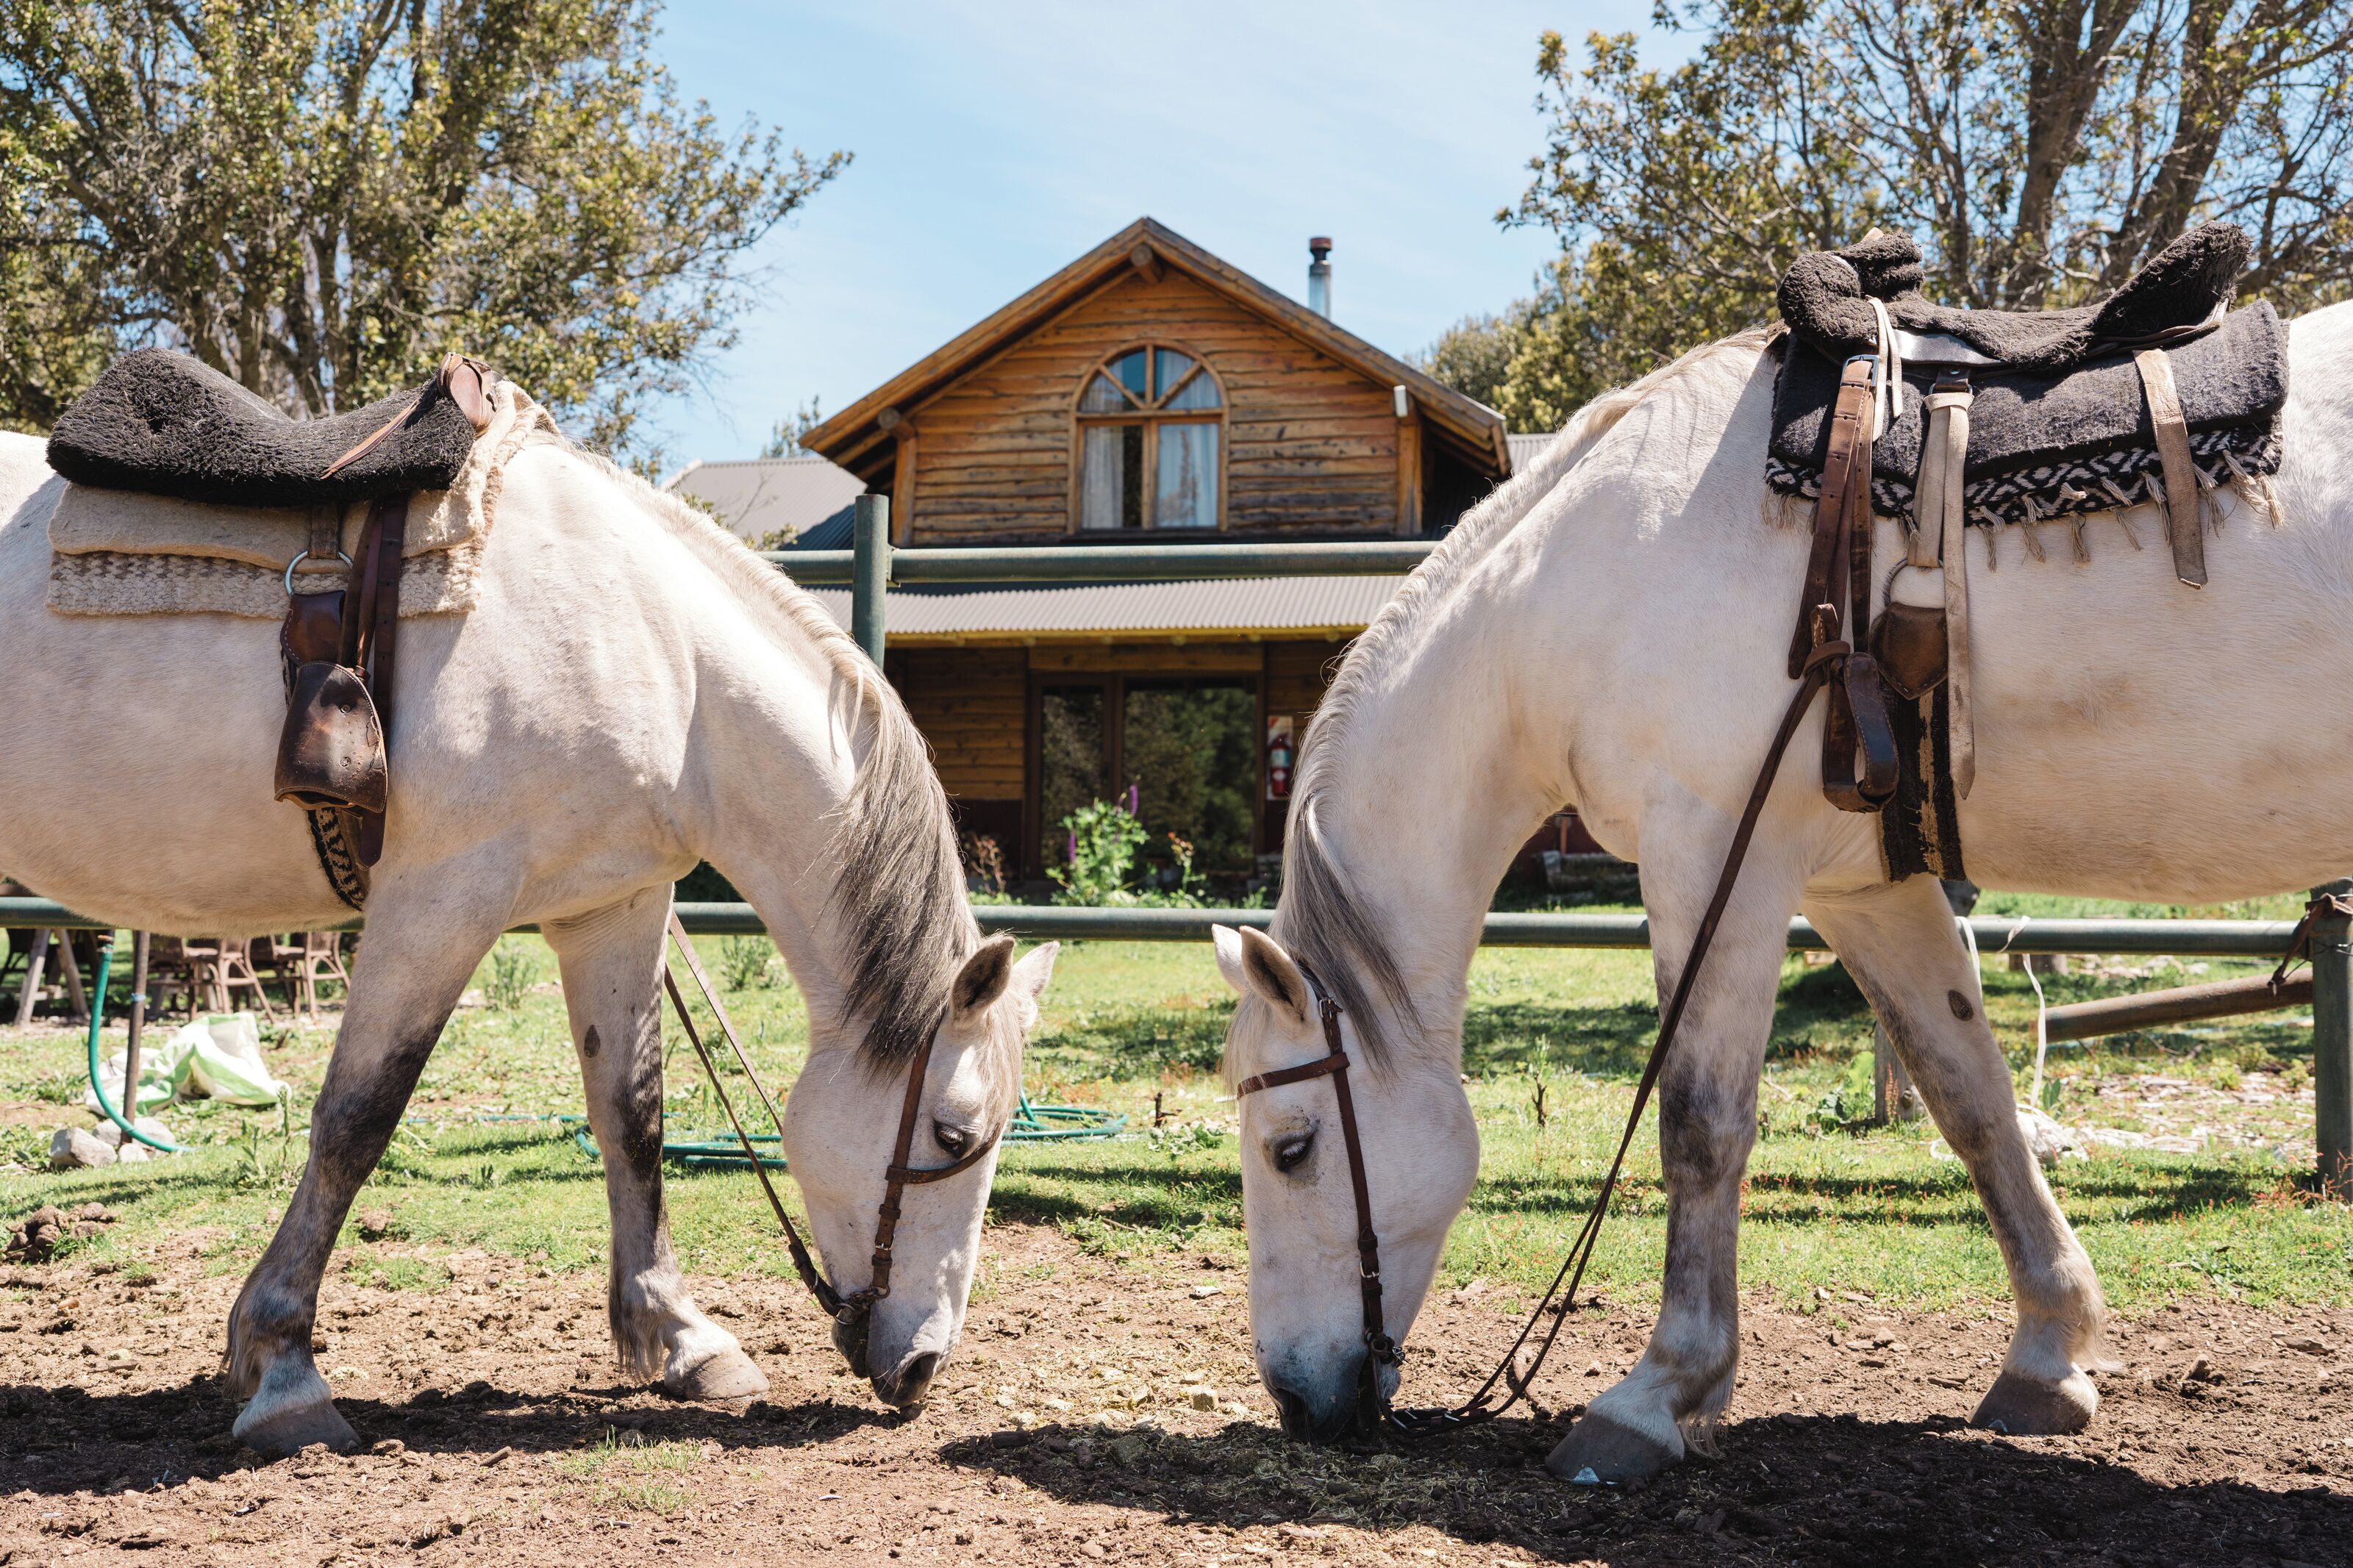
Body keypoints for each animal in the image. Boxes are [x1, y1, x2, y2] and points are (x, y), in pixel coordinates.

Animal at [0, 426, 1057, 1454]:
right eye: (952, 1135)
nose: (922, 1368)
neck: (660, 655)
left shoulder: (614, 904)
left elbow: (633, 1116)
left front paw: (683, 1337)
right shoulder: (442, 898)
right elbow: (356, 1119)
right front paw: (283, 1370)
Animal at [1212, 299, 2353, 1478]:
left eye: (1291, 1148)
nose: (1296, 1400)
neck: (1578, 591)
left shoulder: (1713, 856)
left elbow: (1700, 1126)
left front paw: (1659, 1394)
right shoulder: (1866, 890)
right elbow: (1970, 1099)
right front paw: (2048, 1354)